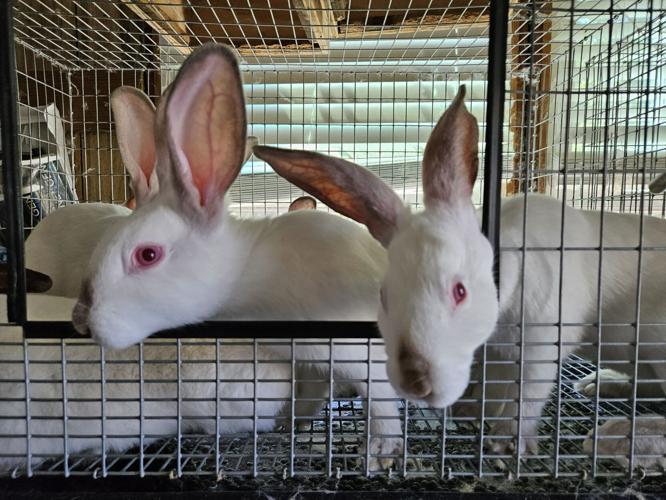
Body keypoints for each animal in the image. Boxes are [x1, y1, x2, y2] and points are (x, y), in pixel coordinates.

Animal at [68, 44, 402, 470]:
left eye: (147, 254)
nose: (80, 320)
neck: (249, 273)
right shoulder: (307, 359)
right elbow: (313, 394)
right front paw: (291, 424)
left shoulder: (358, 351)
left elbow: (381, 399)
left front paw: (380, 452)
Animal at [253, 85, 666, 457]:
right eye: (383, 296)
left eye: (460, 291)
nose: (416, 382)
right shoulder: (495, 356)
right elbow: (496, 388)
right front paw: (471, 412)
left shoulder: (542, 342)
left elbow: (527, 395)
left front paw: (505, 442)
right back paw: (599, 387)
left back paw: (616, 435)